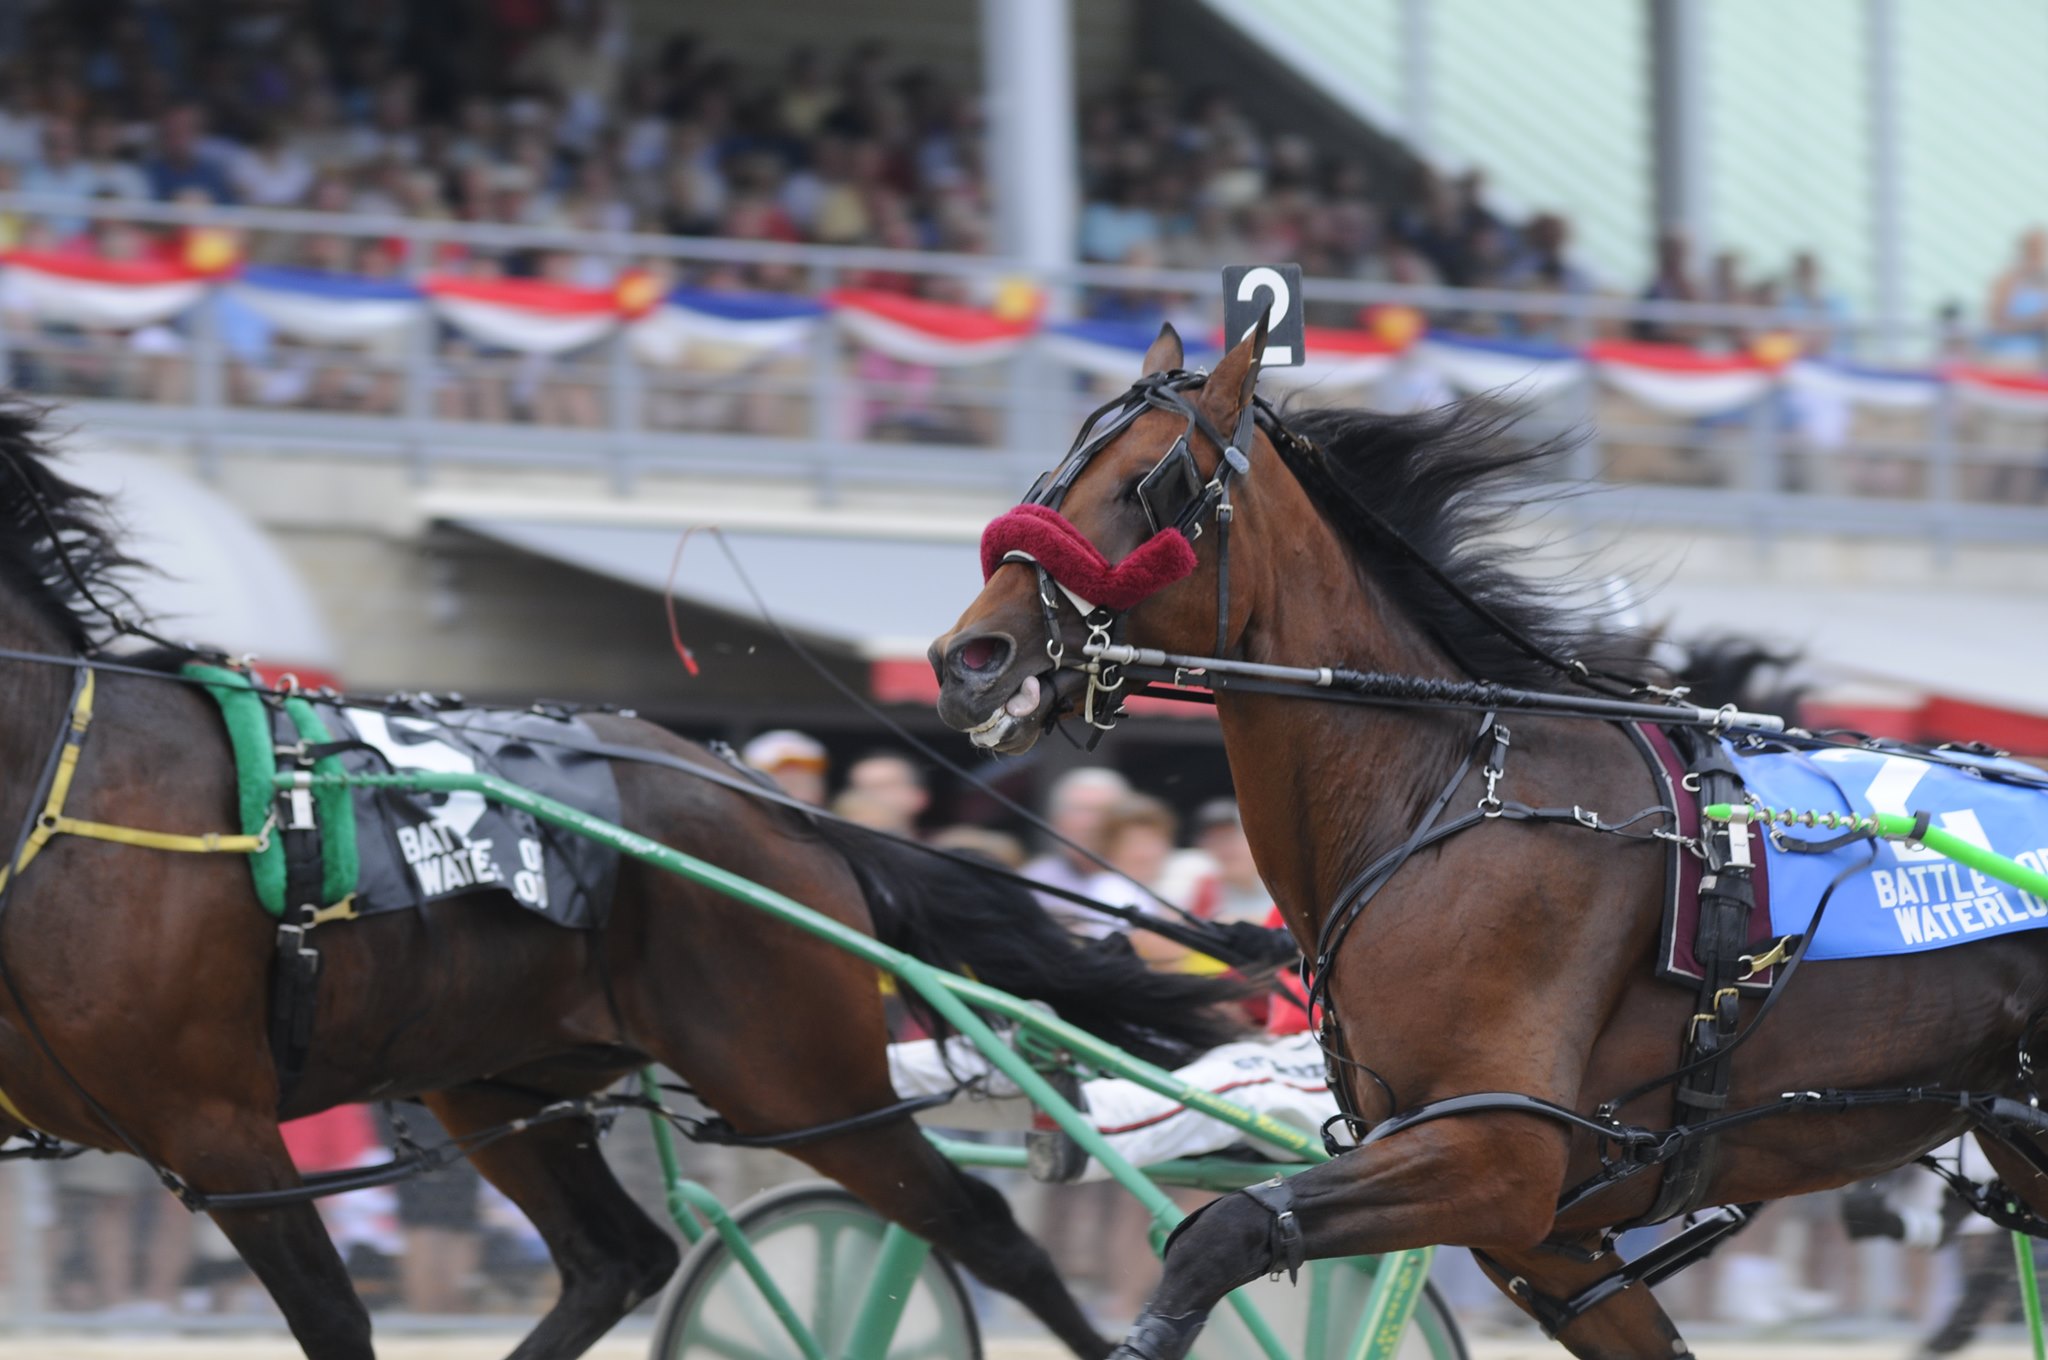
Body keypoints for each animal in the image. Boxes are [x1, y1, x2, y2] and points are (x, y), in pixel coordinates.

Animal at [0, 402, 1248, 1360]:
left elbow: (335, 1321)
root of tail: (776, 806)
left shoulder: (224, 1134)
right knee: (620, 1258)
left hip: (794, 1075)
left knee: (983, 1225)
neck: (67, 778)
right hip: (502, 1077)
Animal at [931, 322, 2048, 1360]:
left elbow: (1222, 1231)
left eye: (1148, 481)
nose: (966, 659)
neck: (1437, 805)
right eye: (1054, 470)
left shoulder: (1497, 1150)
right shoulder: (1549, 1244)